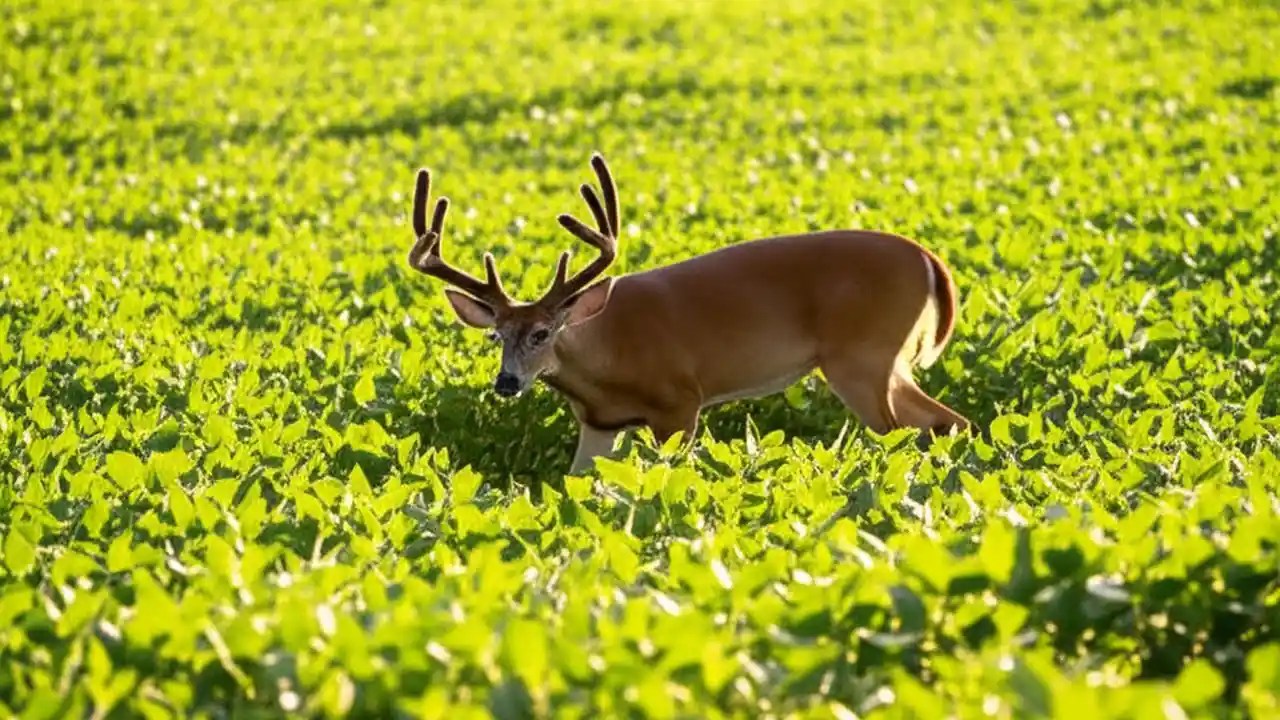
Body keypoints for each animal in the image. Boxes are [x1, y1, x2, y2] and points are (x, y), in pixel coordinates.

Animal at [405, 152, 971, 474]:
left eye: (543, 332)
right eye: (496, 336)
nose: (506, 383)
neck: (605, 360)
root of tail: (930, 259)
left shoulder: (680, 402)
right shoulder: (600, 423)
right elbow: (578, 482)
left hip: (862, 358)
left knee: (903, 432)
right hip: (886, 363)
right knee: (947, 422)